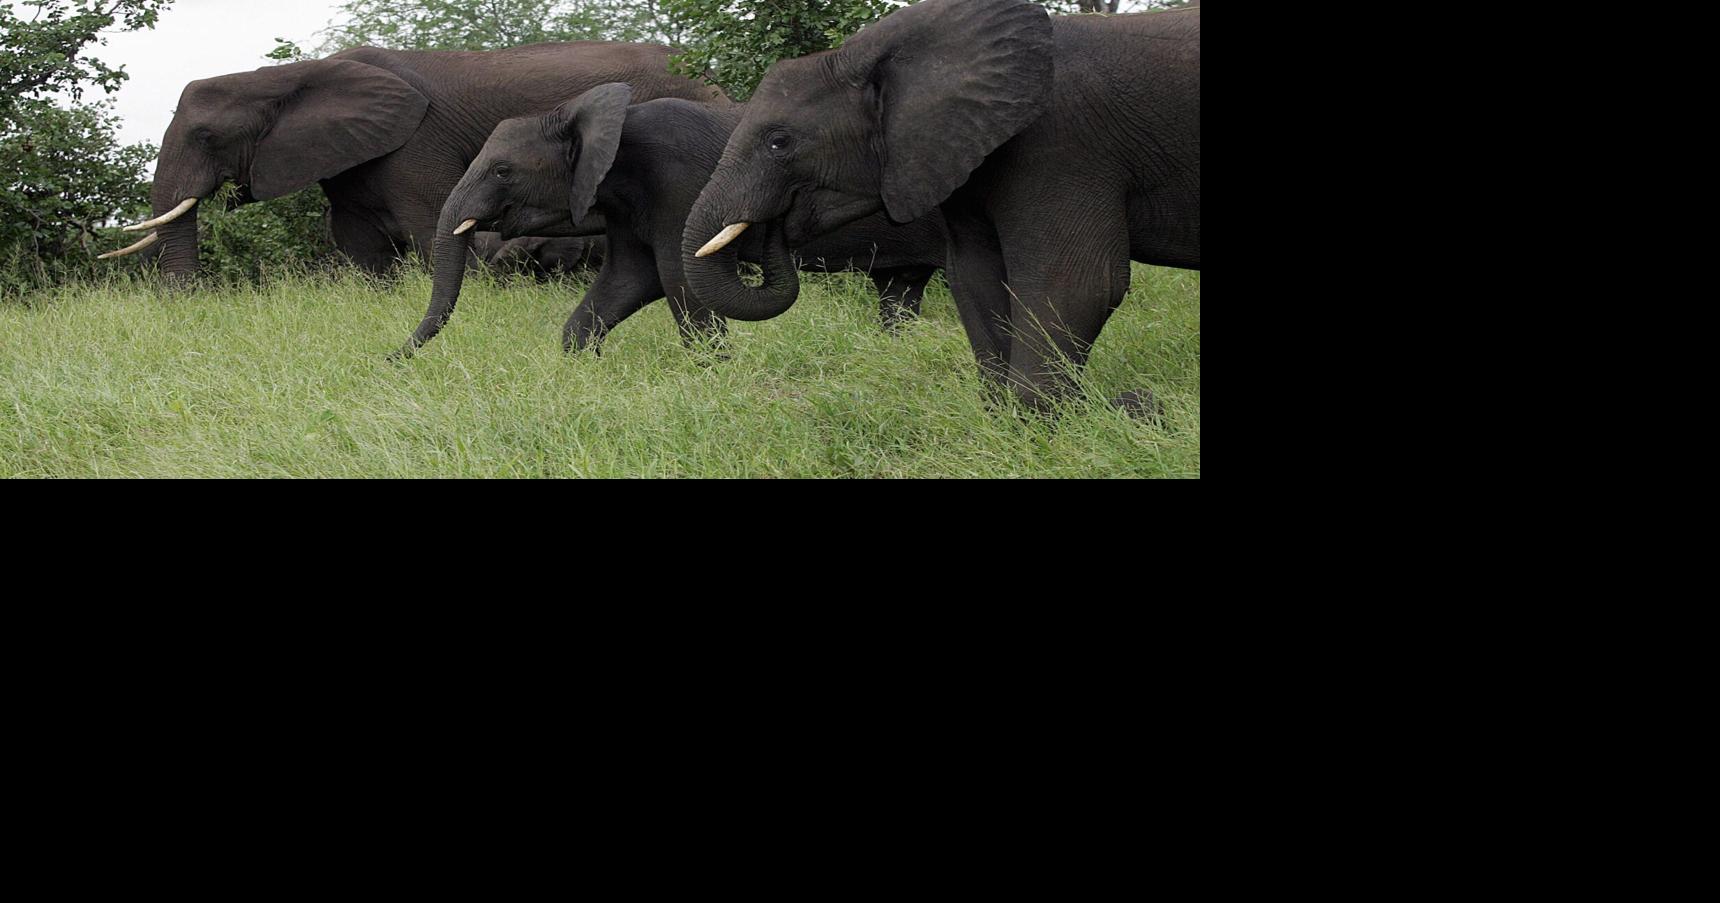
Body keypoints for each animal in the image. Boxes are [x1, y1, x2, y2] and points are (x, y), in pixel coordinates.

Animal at [100, 42, 725, 281]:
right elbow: (360, 247)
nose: (185, 305)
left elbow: (432, 228)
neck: (295, 75)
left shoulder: (415, 143)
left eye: (206, 136)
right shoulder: (347, 156)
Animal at [399, 84, 944, 357]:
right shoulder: (626, 204)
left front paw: (714, 375)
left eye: (502, 170)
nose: (391, 359)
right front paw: (584, 363)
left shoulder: (678, 185)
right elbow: (628, 279)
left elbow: (680, 279)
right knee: (900, 292)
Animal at [682, 0, 1199, 413]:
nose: (770, 224)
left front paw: (1047, 425)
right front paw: (1005, 421)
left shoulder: (1062, 146)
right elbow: (974, 277)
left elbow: (1077, 284)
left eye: (778, 142)